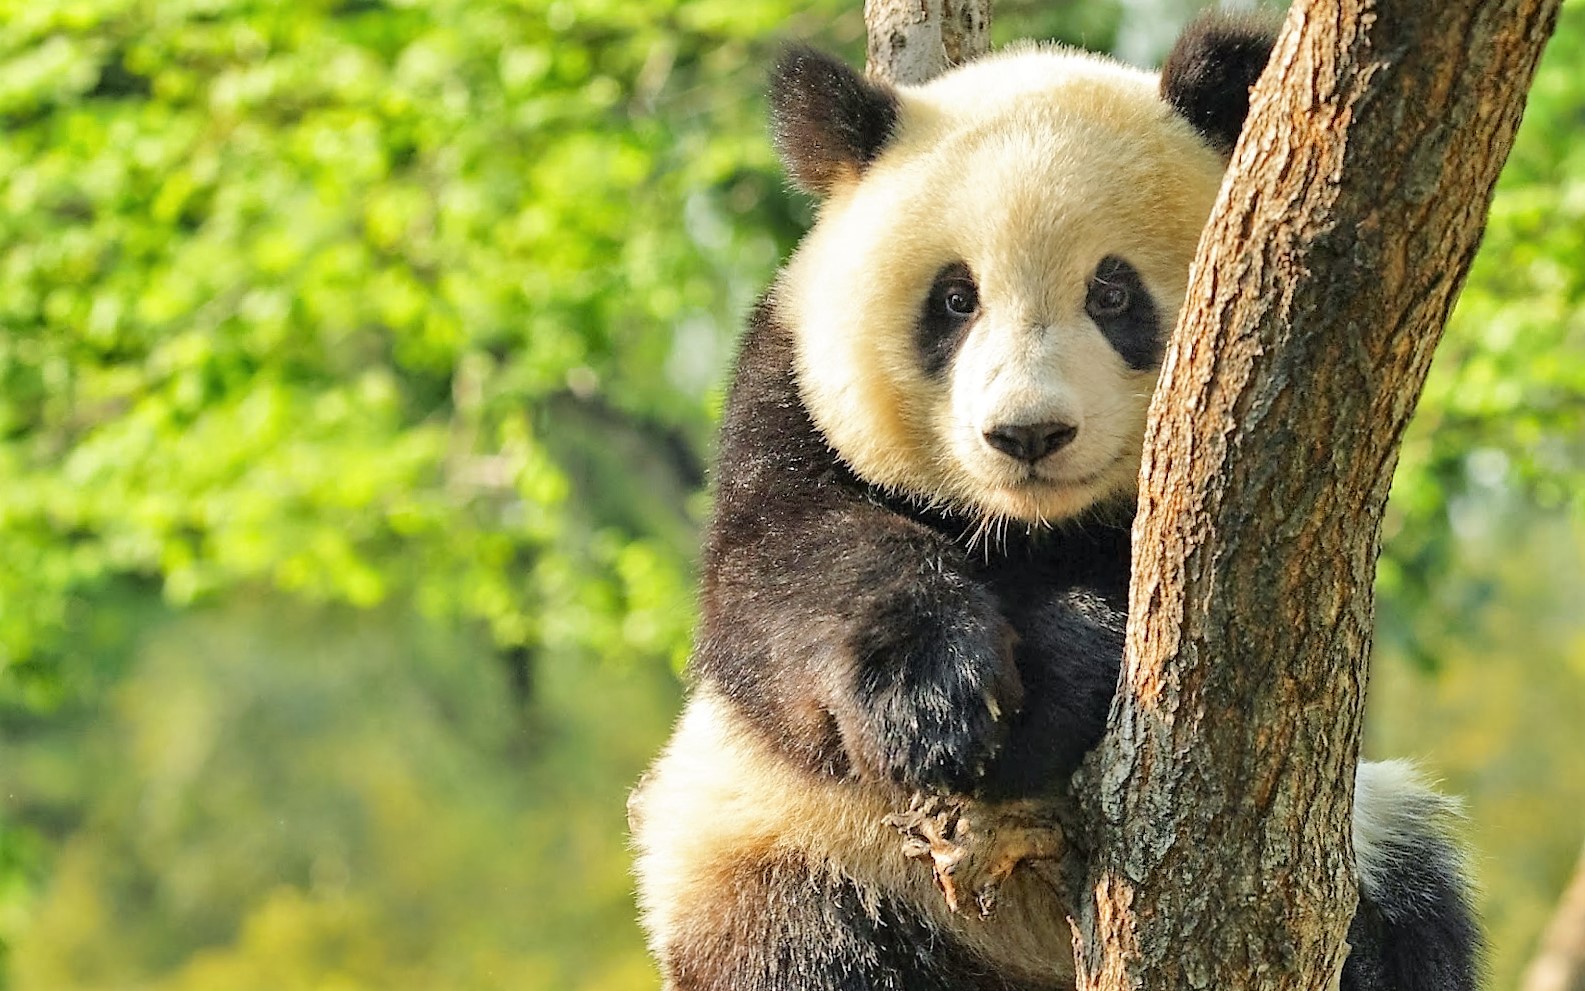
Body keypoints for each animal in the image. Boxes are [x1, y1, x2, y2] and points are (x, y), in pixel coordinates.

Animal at [628, 11, 1481, 991]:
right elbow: (784, 579)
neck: (1028, 530)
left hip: (1373, 839)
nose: (1027, 434)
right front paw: (939, 702)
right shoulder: (787, 398)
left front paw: (1048, 685)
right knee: (801, 945)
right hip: (774, 851)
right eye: (954, 298)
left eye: (1110, 291)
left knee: (1415, 917)